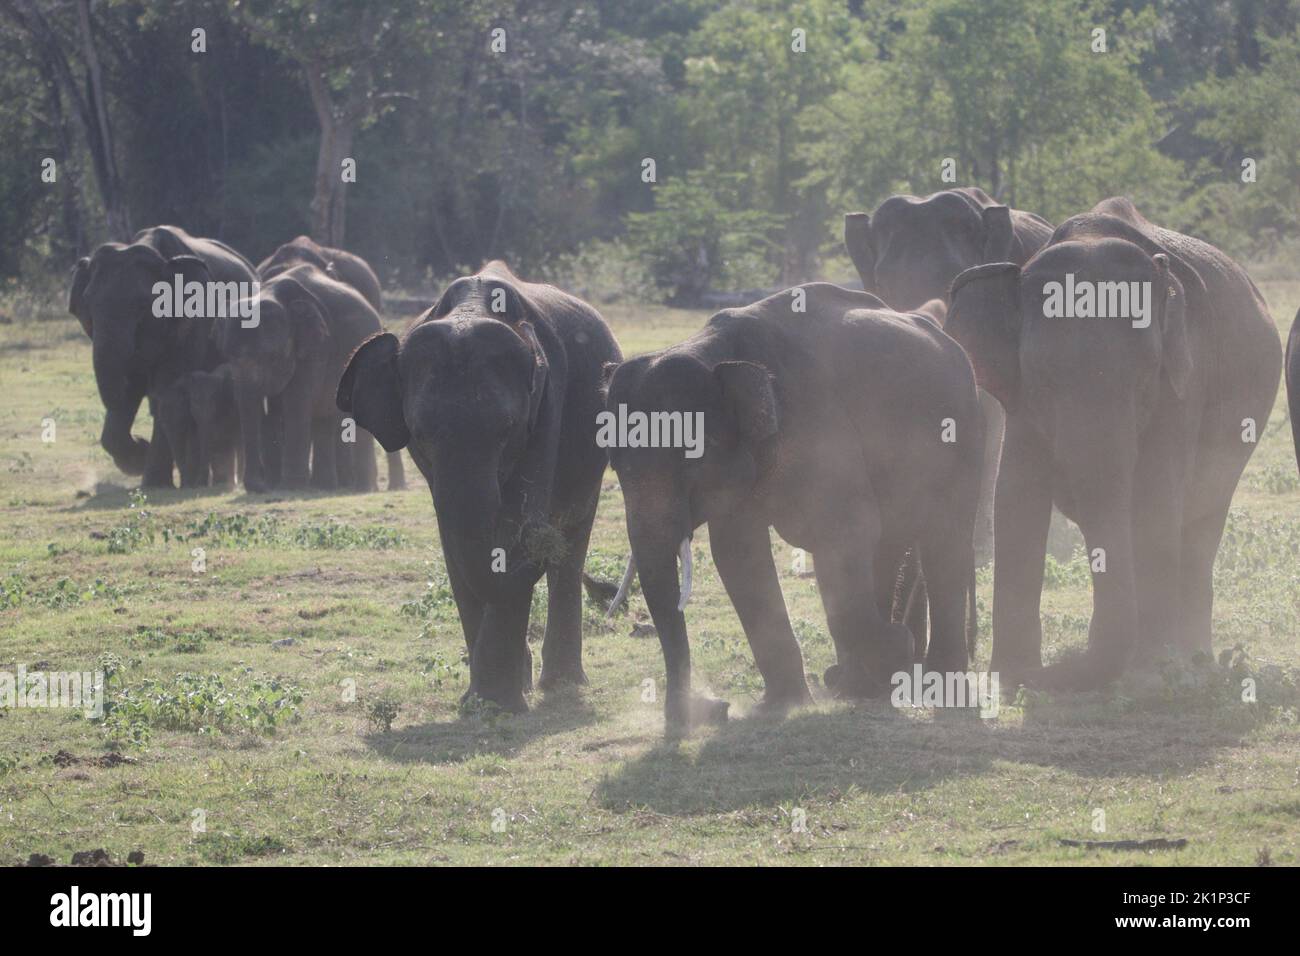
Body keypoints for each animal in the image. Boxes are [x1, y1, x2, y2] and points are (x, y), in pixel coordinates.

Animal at [68, 225, 257, 487]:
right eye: (87, 302)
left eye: (143, 305)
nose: (139, 440)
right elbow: (131, 387)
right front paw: (139, 458)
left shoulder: (195, 323)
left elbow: (166, 389)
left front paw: (152, 477)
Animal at [216, 263, 383, 493]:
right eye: (228, 356)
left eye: (271, 356)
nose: (259, 487)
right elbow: (270, 411)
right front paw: (274, 485)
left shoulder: (316, 347)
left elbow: (295, 403)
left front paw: (290, 487)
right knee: (322, 418)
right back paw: (325, 487)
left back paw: (360, 489)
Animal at [337, 261, 623, 713]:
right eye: (422, 433)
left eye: (507, 430)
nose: (537, 548)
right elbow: (454, 542)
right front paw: (483, 703)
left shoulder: (548, 405)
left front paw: (498, 704)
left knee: (575, 537)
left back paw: (561, 683)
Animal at [604, 282, 983, 734]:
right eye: (614, 465)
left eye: (691, 458)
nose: (714, 707)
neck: (714, 353)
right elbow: (738, 554)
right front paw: (779, 706)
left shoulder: (820, 427)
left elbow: (844, 530)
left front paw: (895, 651)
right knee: (890, 546)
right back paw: (858, 683)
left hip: (963, 430)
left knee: (944, 540)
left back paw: (924, 683)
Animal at [944, 197, 1282, 691]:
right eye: (1043, 378)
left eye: (1143, 379)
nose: (1050, 673)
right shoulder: (1021, 402)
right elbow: (1017, 496)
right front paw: (1011, 676)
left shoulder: (1182, 382)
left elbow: (1156, 496)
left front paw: (1151, 675)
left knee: (1201, 524)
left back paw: (1193, 661)